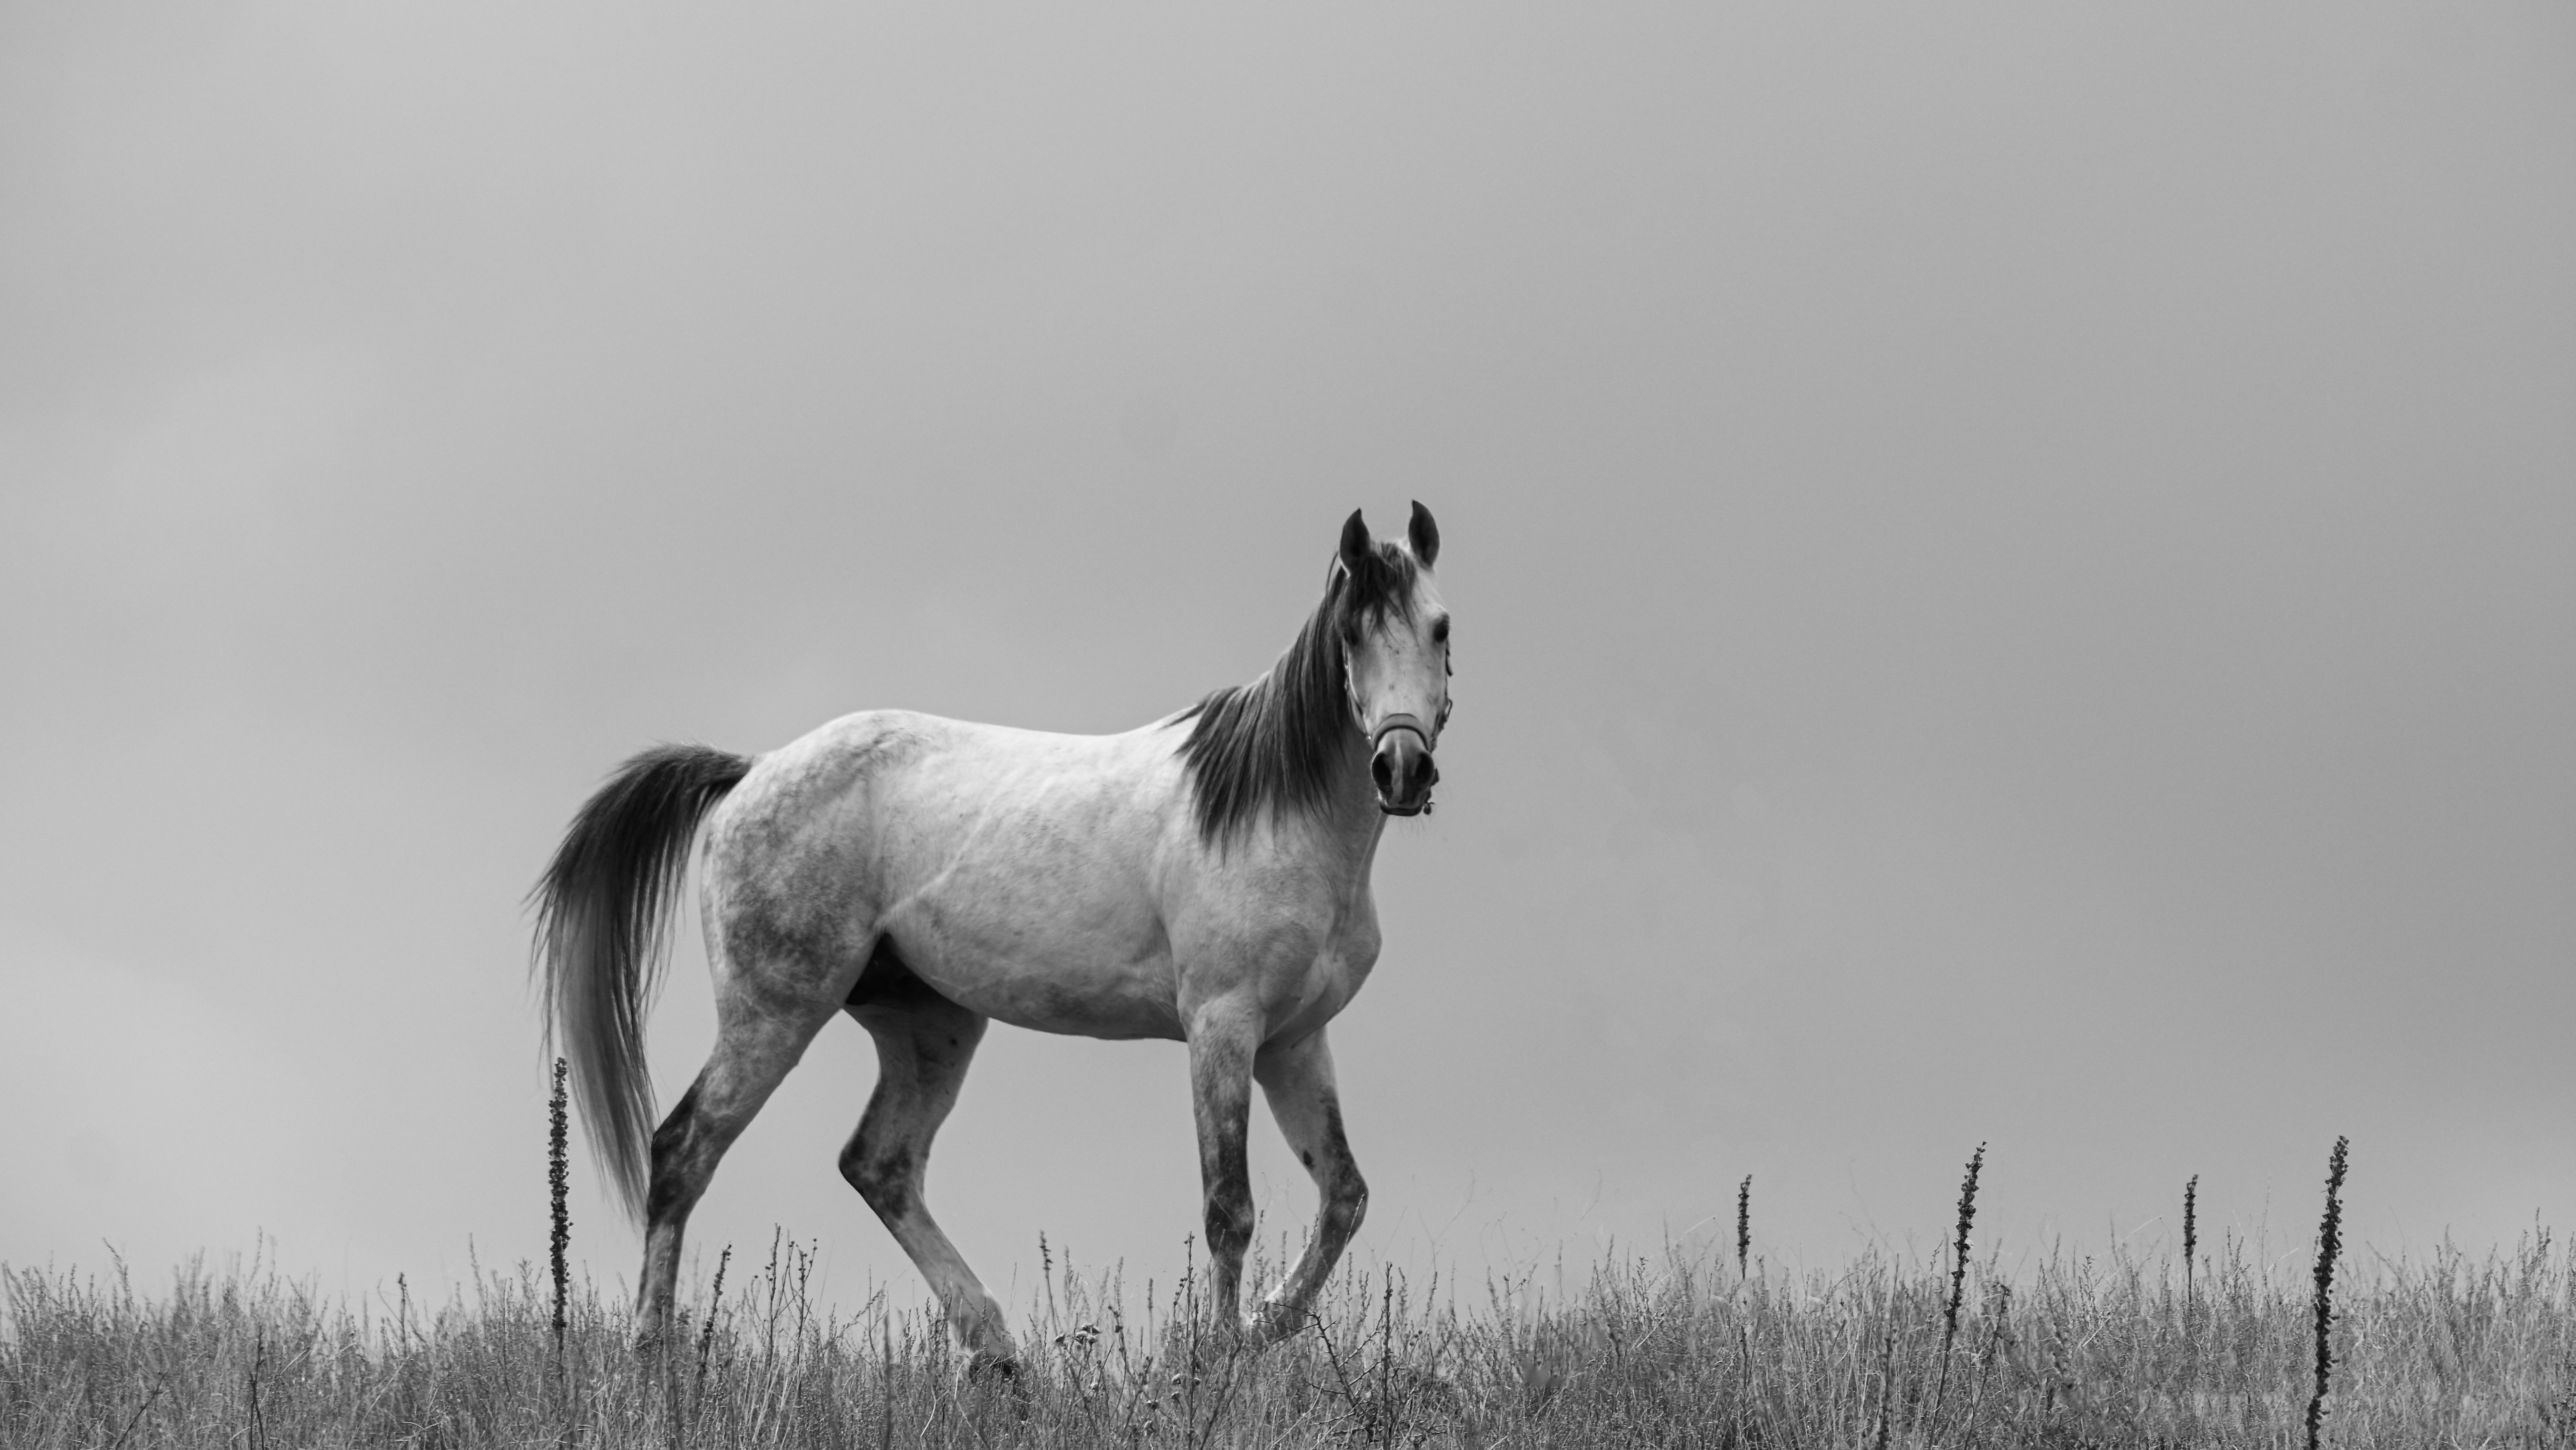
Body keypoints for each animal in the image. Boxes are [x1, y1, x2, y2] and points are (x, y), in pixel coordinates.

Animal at [532, 503, 1454, 1371]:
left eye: (1441, 626)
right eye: (1351, 632)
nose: (1402, 769)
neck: (1273, 816)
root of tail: (751, 772)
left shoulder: (1293, 1040)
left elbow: (1343, 1197)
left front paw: (1261, 1328)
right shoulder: (1223, 1028)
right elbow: (1229, 1208)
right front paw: (1210, 1363)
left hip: (929, 1025)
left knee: (879, 1164)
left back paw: (998, 1352)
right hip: (774, 1015)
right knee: (684, 1149)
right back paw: (653, 1354)